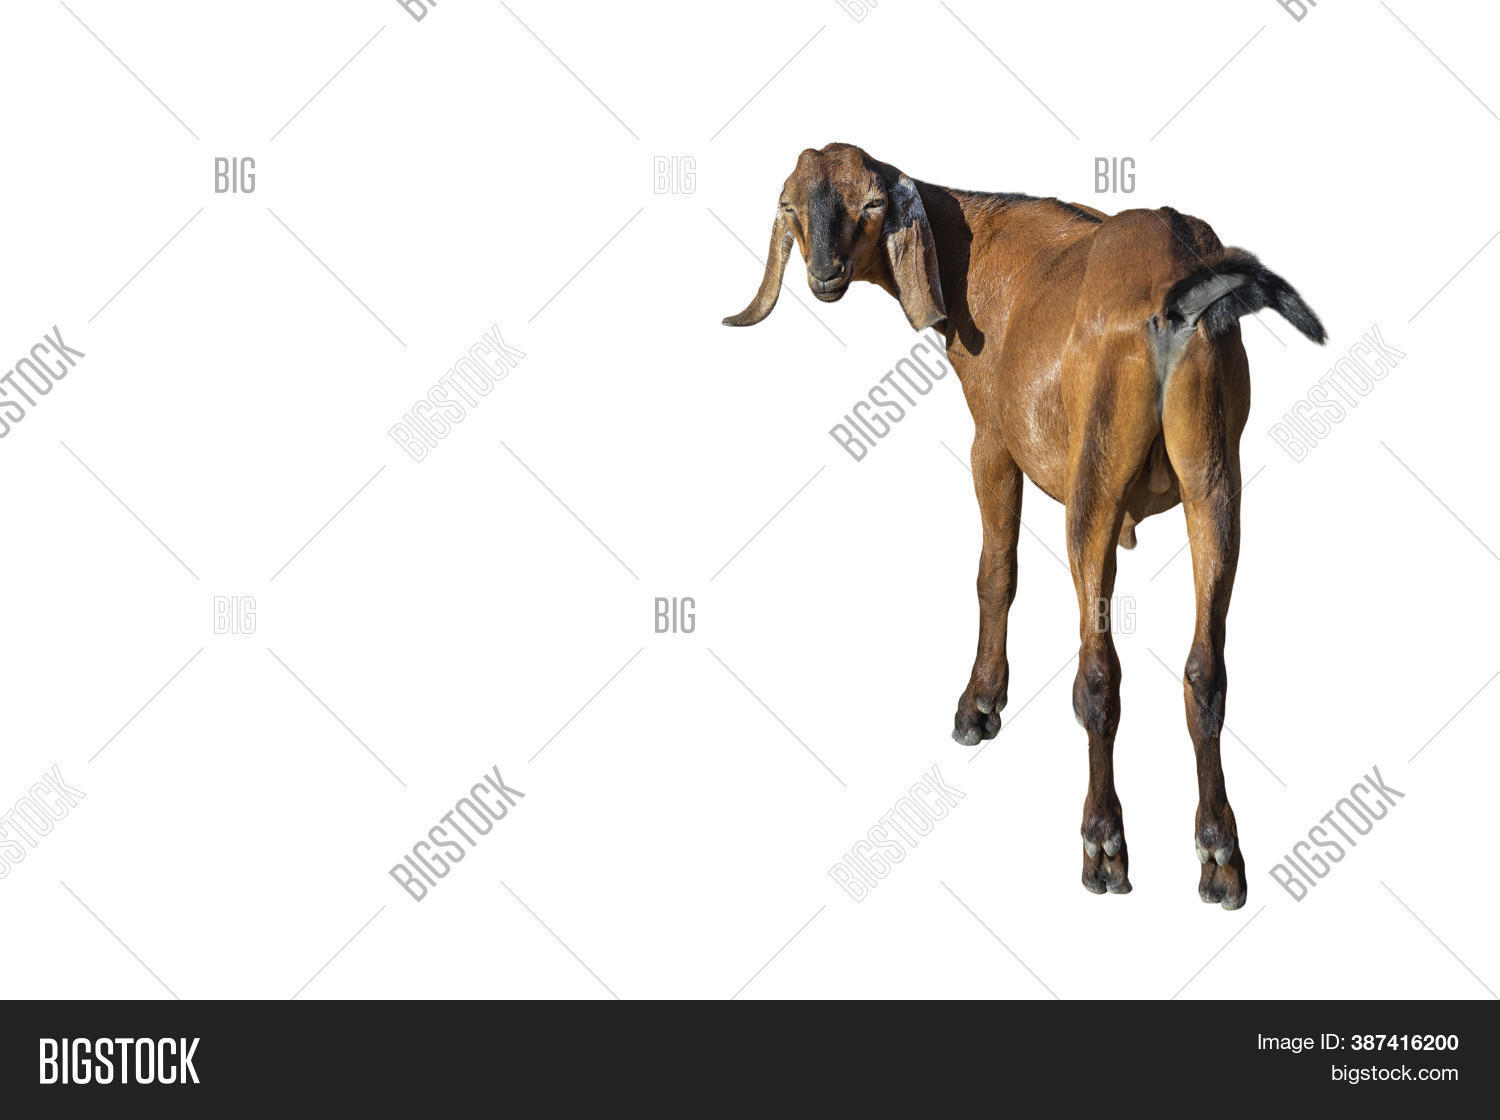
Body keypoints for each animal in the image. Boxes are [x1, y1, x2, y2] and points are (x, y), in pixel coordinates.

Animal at [723, 143, 1325, 909]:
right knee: (1205, 671)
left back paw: (1104, 848)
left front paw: (979, 706)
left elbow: (995, 575)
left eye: (872, 204)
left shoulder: (991, 440)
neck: (982, 242)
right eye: (794, 206)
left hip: (1093, 483)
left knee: (1098, 674)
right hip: (1214, 478)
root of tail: (1177, 299)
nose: (824, 272)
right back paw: (1220, 857)